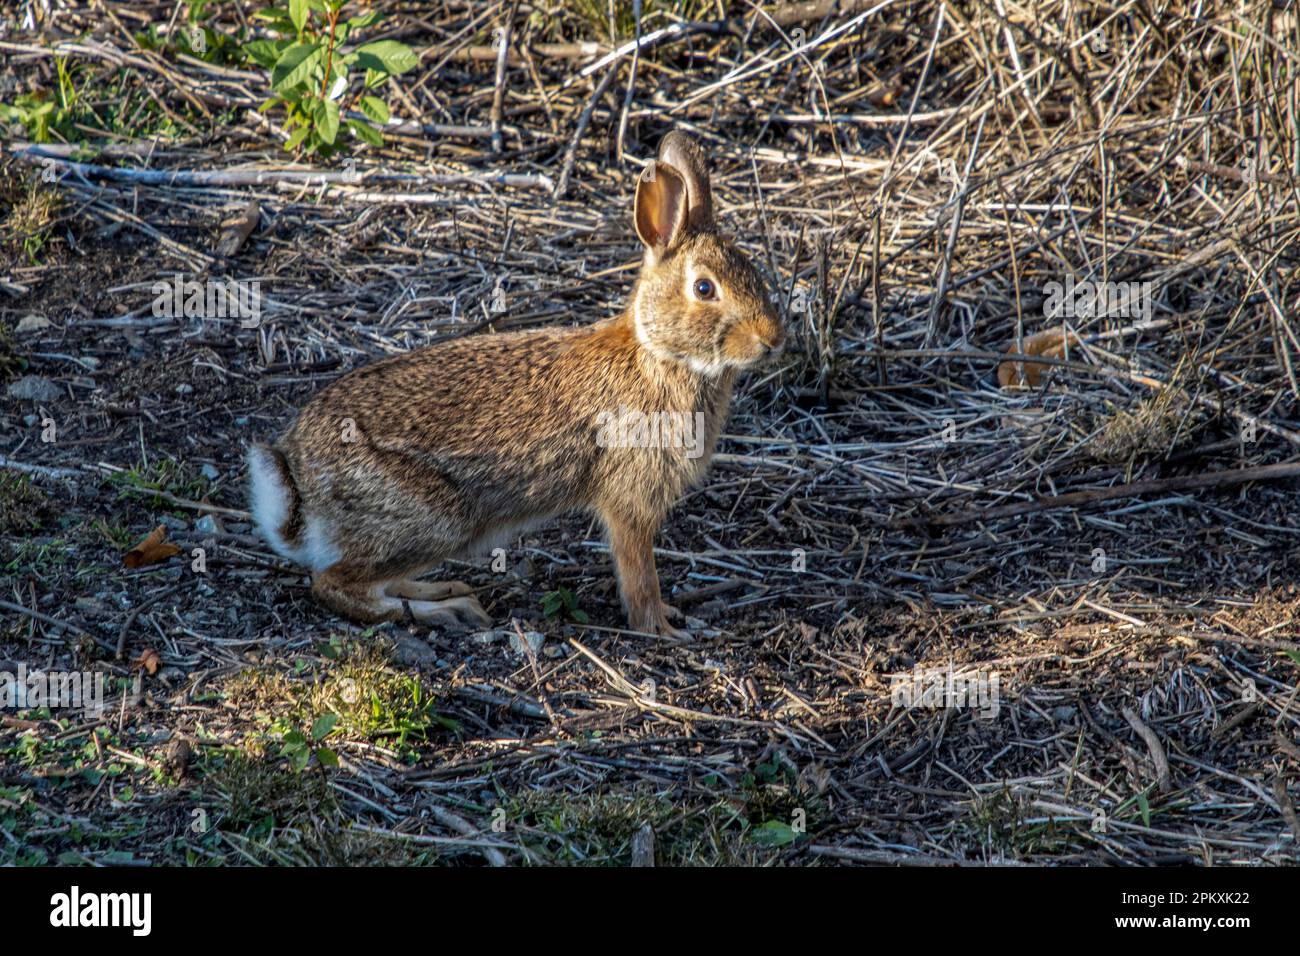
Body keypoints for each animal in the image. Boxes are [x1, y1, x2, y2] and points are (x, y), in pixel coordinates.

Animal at [248, 129, 784, 638]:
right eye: (704, 288)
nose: (771, 340)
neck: (658, 354)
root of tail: (296, 481)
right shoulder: (630, 501)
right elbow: (638, 573)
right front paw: (662, 628)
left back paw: (444, 590)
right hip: (437, 519)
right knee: (336, 585)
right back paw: (447, 611)